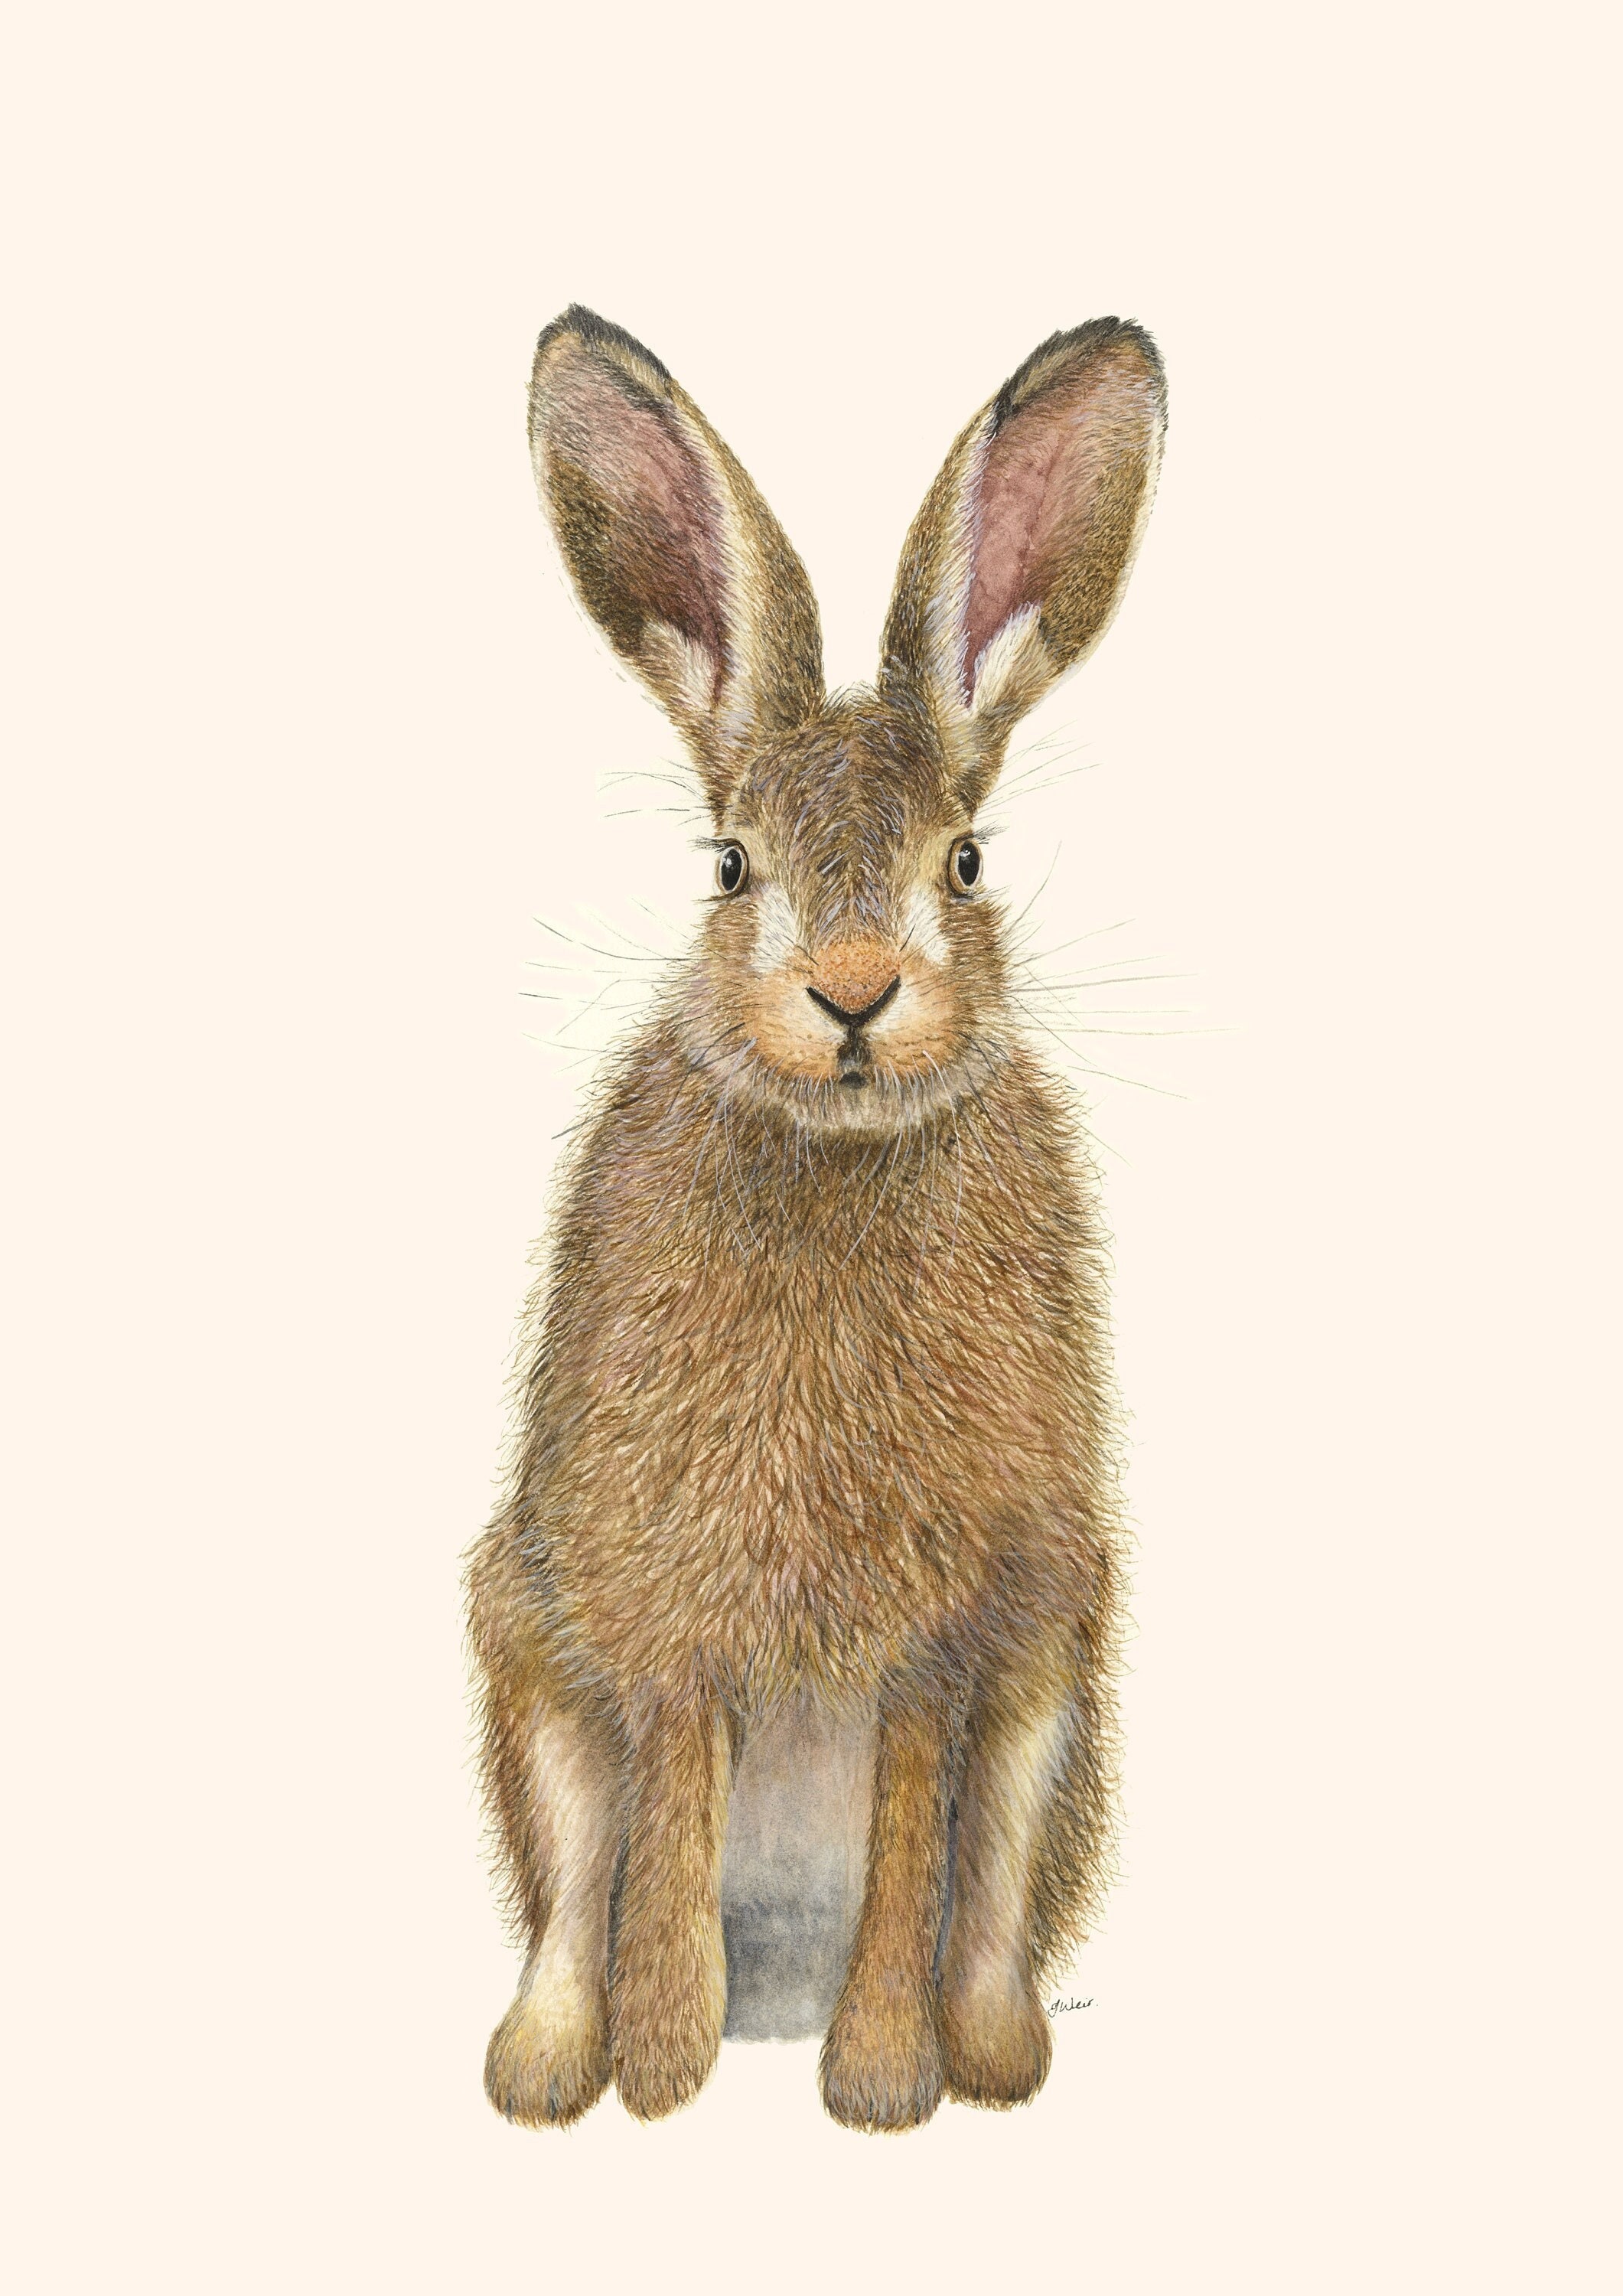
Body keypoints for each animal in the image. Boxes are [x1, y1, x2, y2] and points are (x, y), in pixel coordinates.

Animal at [467, 304, 1166, 2131]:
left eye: (966, 860)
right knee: (573, 1887)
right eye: (728, 866)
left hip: (1056, 1684)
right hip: (520, 1646)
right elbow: (668, 1812)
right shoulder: (655, 1620)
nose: (852, 992)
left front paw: (875, 2092)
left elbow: (912, 1826)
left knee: (977, 1908)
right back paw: (551, 2069)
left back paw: (979, 2059)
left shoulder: (952, 1632)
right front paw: (661, 2076)